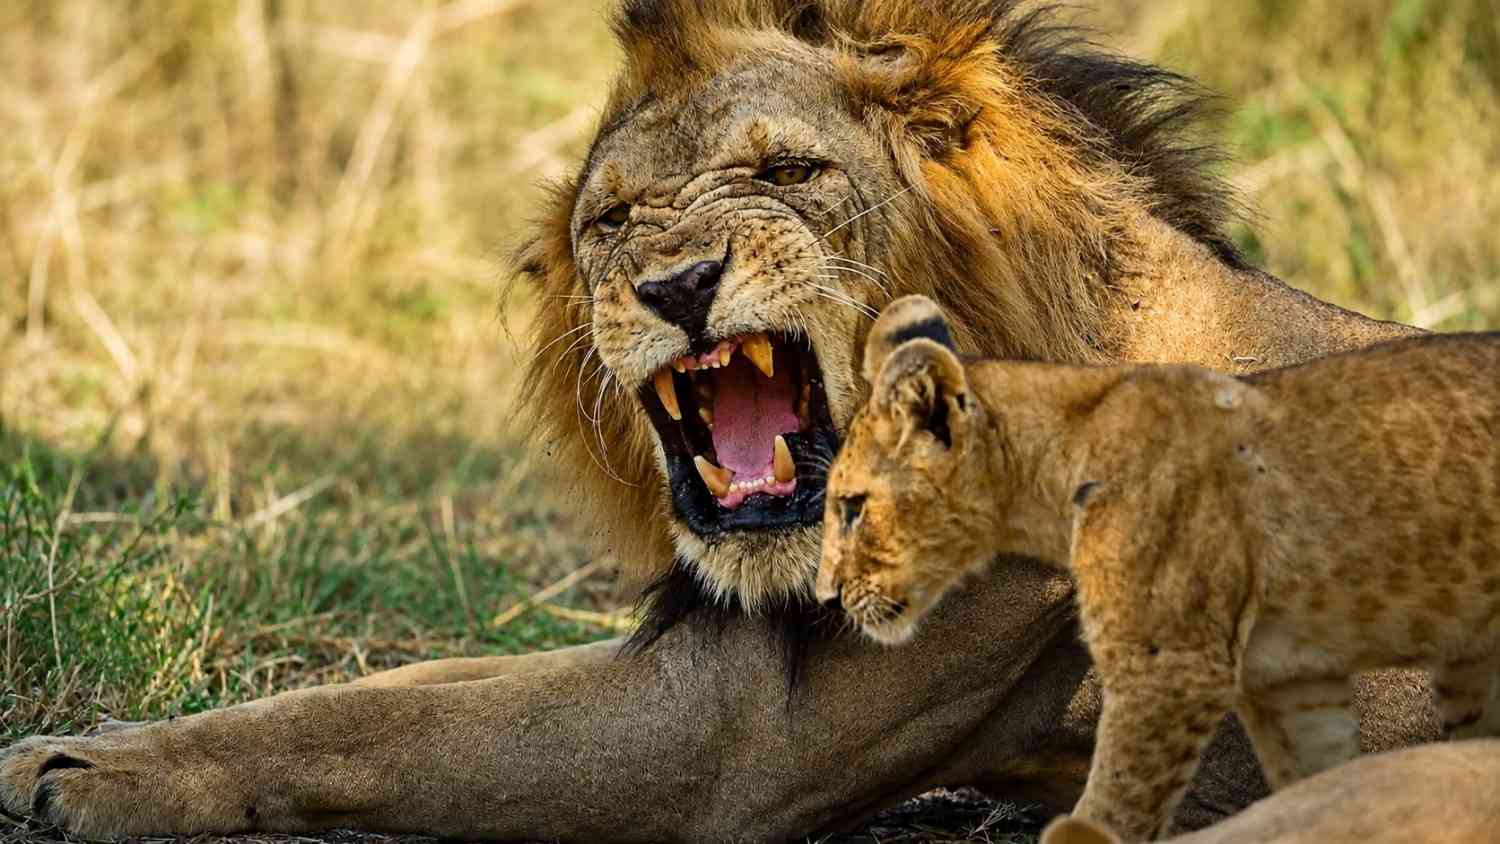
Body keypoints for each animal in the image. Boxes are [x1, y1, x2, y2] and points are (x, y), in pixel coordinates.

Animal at [816, 295, 1500, 840]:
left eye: (852, 507)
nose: (826, 597)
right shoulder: (1290, 682)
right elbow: (1317, 779)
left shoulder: (1173, 671)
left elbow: (1111, 808)